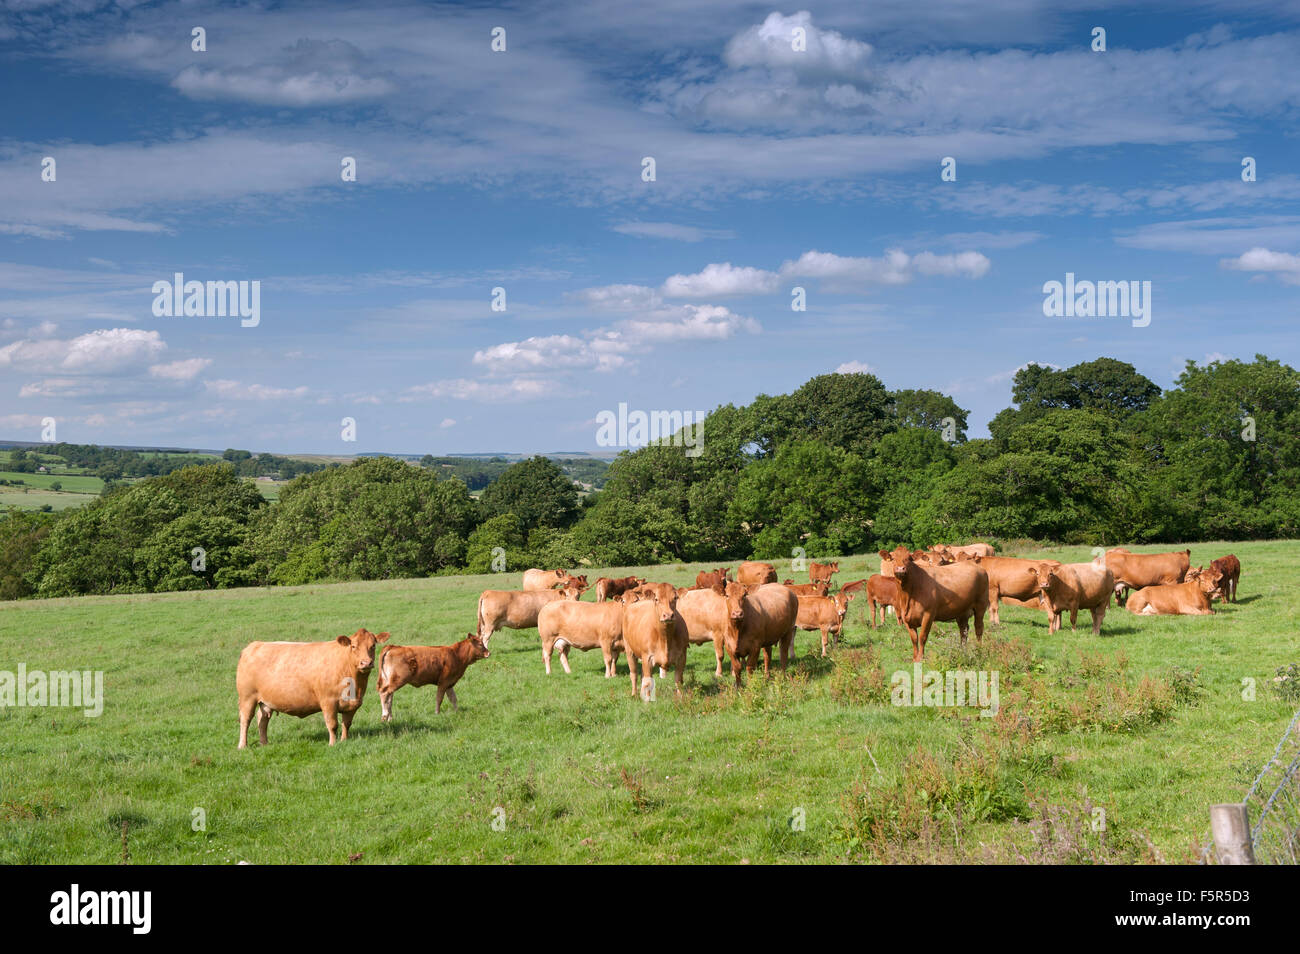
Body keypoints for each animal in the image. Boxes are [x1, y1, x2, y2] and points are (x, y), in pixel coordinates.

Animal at [236, 628, 389, 748]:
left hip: (266, 701)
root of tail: (254, 645)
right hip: (247, 697)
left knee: (262, 719)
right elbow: (332, 724)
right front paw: (332, 744)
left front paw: (344, 740)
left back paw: (264, 743)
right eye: (353, 646)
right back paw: (243, 745)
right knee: (245, 720)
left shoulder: (353, 704)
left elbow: (346, 723)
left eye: (373, 646)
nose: (366, 663)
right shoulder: (328, 702)